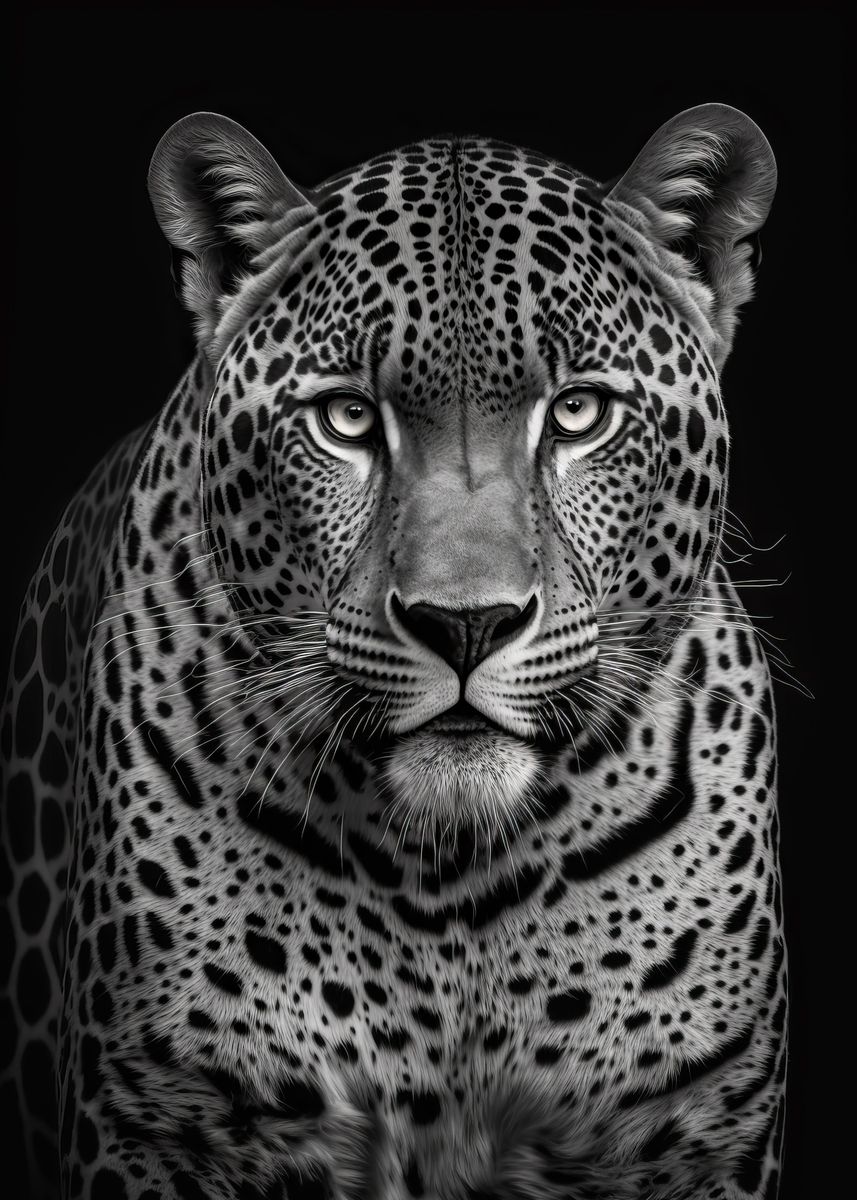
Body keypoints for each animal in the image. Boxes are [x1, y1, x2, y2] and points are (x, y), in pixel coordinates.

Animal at [1, 103, 786, 1200]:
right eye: (345, 419)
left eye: (578, 413)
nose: (465, 624)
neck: (446, 881)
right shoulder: (162, 1128)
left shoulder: (695, 1137)